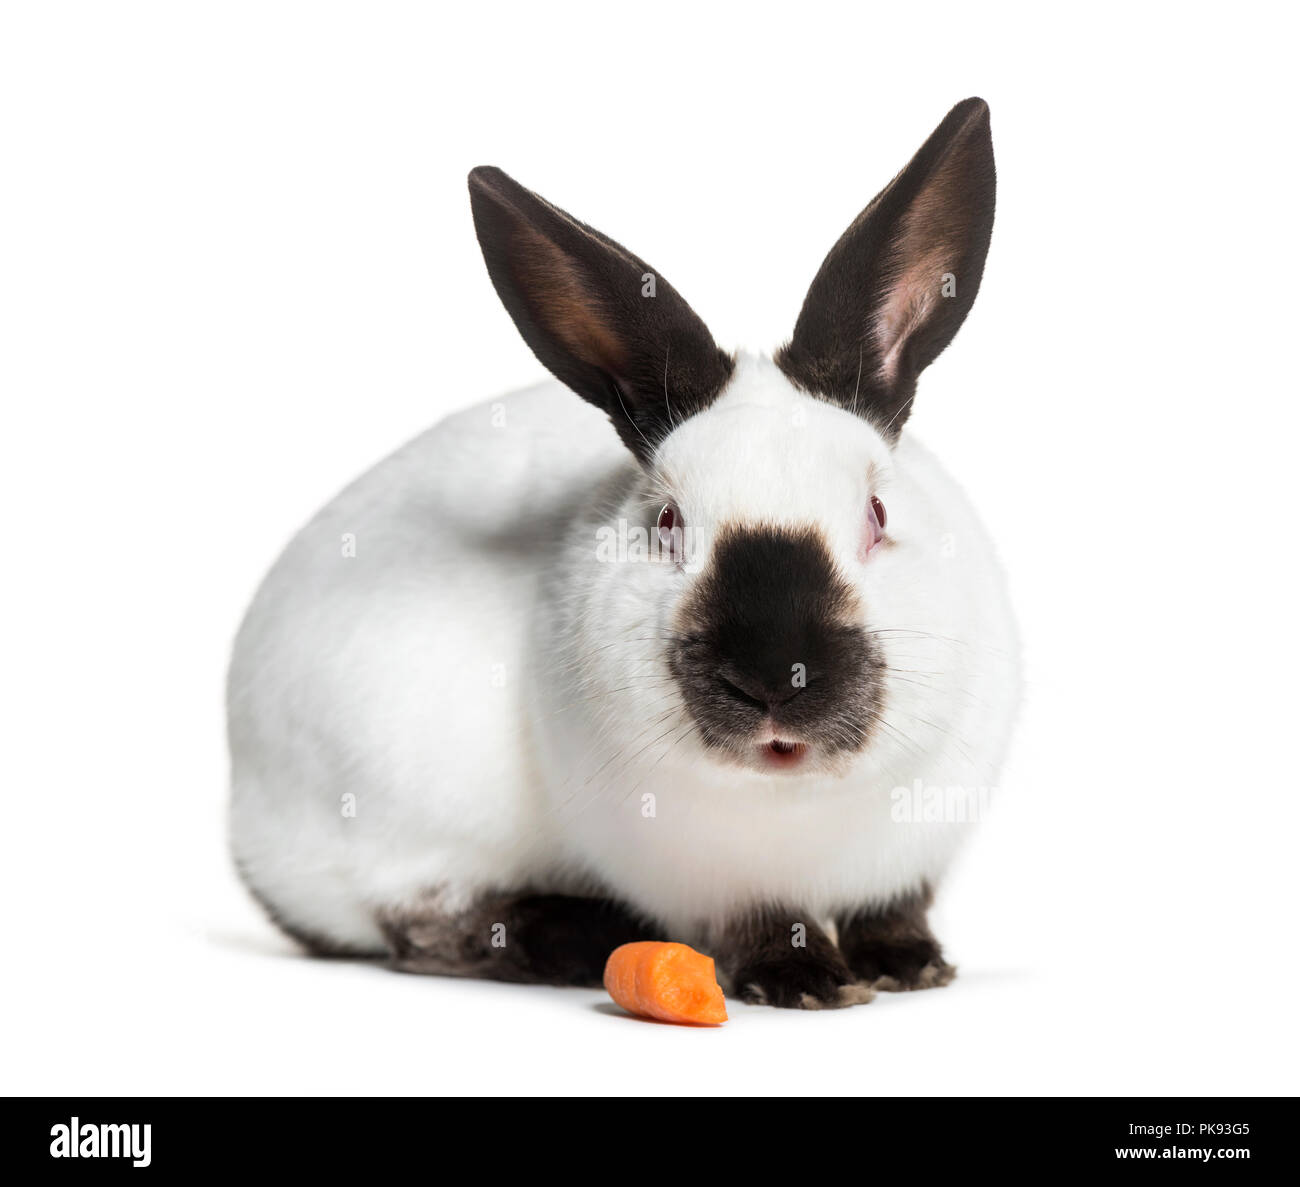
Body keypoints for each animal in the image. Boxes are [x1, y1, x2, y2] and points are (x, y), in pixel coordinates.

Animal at [227, 97, 1019, 1009]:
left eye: (877, 513)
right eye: (668, 521)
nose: (774, 678)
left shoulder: (910, 855)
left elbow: (892, 909)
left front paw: (909, 964)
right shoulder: (707, 879)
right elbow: (756, 922)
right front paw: (805, 981)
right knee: (421, 922)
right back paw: (573, 938)